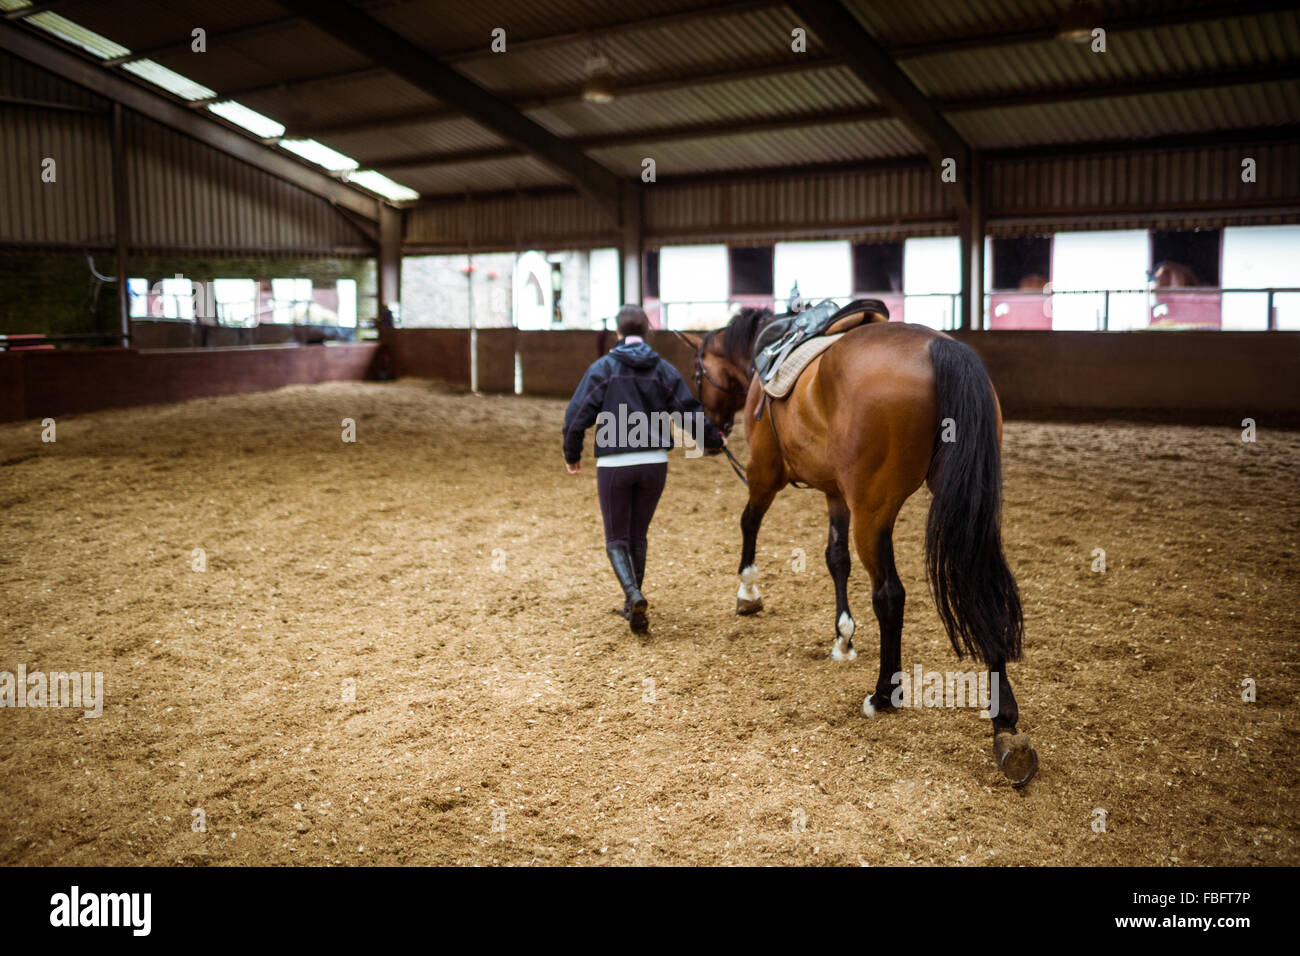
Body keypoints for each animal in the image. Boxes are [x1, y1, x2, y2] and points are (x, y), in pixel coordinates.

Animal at [678, 308, 1038, 787]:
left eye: (697, 372)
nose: (708, 436)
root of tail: (940, 348)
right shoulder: (835, 494)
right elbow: (836, 559)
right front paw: (843, 637)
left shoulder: (764, 473)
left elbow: (749, 523)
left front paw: (748, 592)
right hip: (966, 506)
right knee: (980, 589)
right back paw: (1005, 724)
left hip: (872, 509)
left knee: (889, 594)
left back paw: (885, 695)